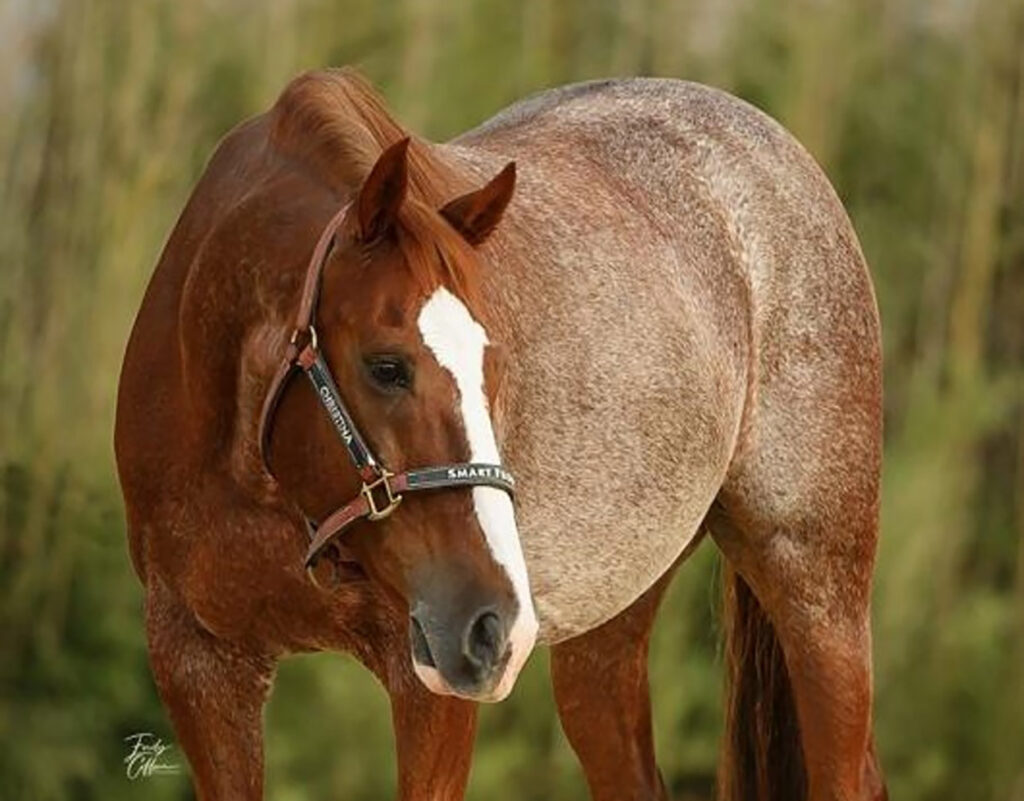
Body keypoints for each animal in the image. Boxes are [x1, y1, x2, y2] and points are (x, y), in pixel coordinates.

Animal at [115, 68, 887, 801]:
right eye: (386, 366)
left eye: (498, 363)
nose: (490, 623)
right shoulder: (197, 665)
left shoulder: (426, 679)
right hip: (607, 630)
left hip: (817, 589)